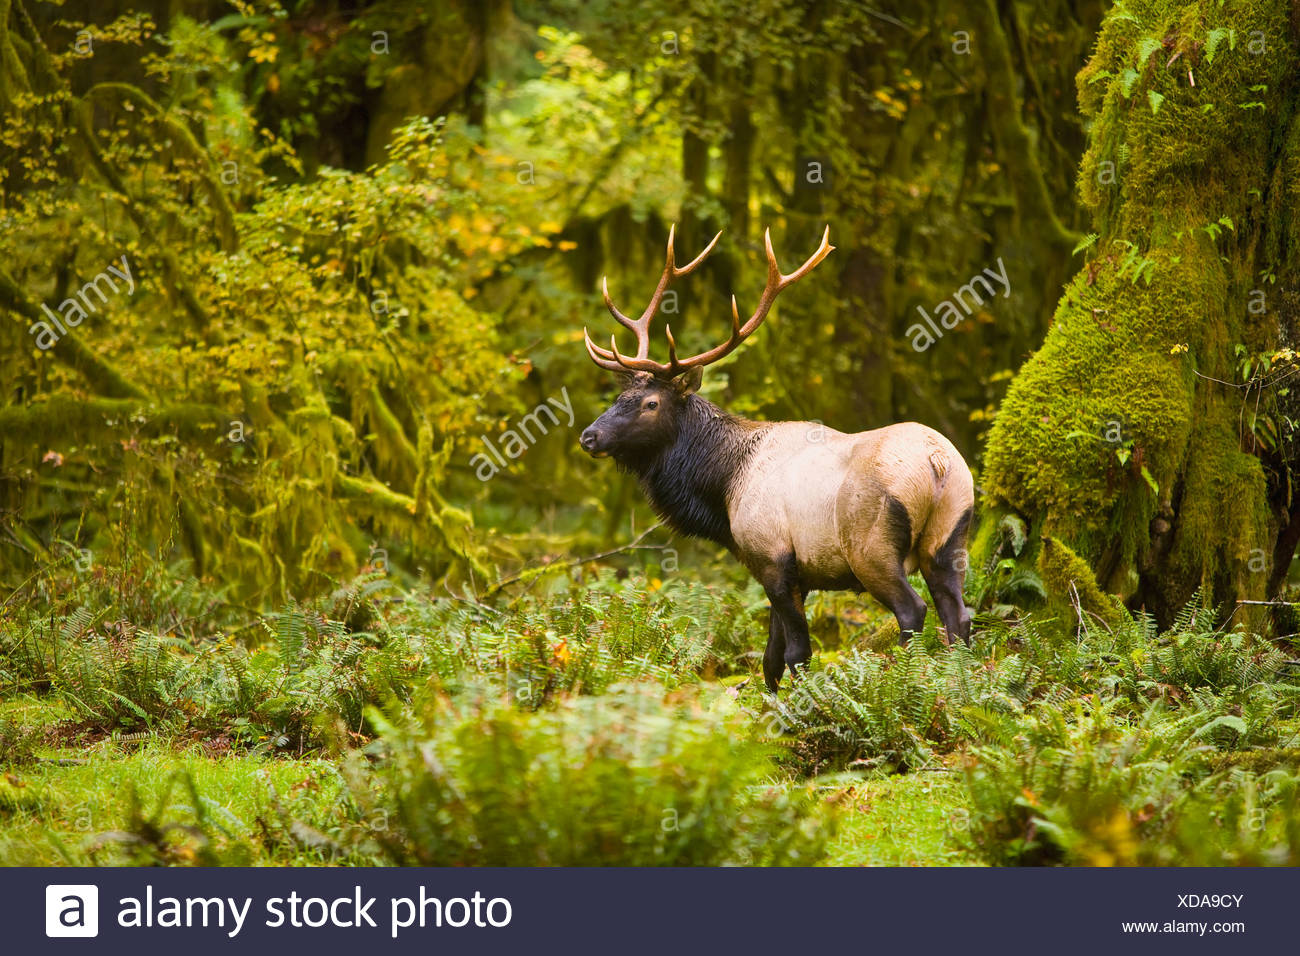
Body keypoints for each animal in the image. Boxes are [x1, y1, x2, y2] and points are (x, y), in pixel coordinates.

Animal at [578, 225, 975, 693]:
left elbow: (795, 653)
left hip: (872, 546)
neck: (723, 489)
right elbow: (769, 657)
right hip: (951, 534)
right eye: (619, 397)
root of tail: (937, 462)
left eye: (651, 403)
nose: (589, 436)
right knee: (959, 615)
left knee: (913, 610)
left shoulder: (772, 557)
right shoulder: (785, 571)